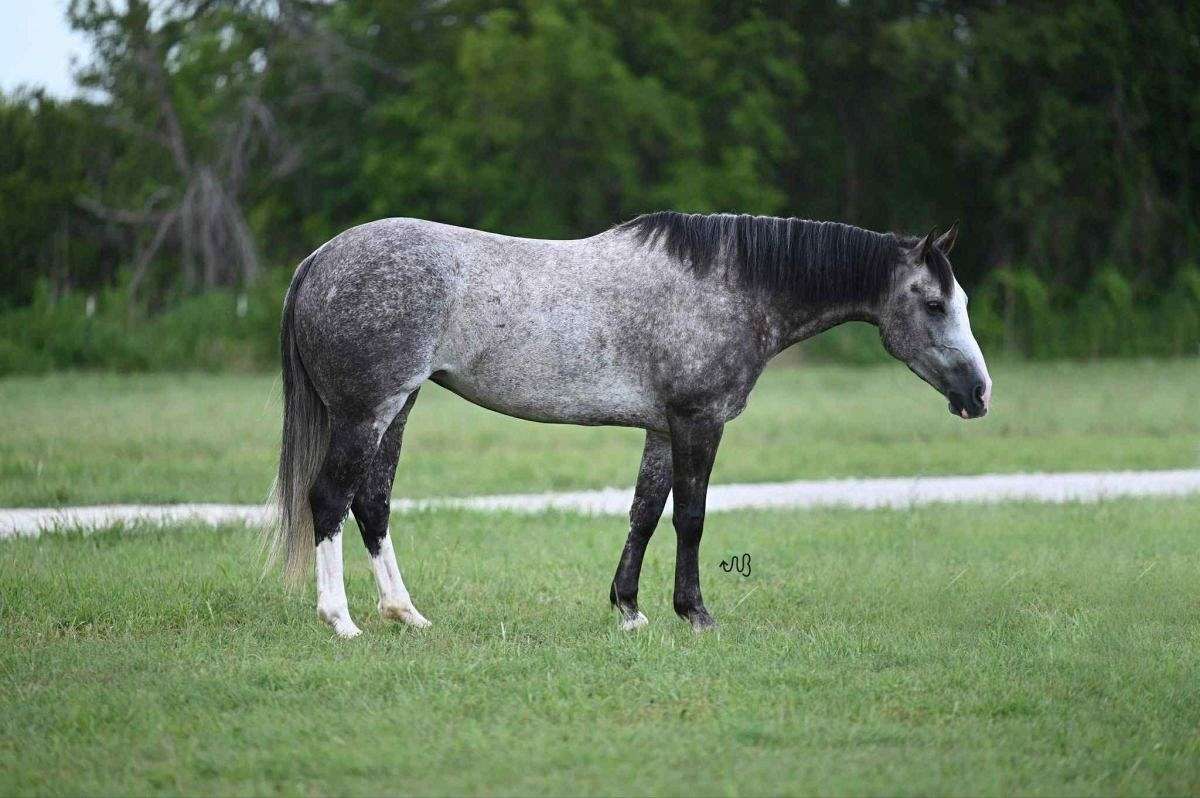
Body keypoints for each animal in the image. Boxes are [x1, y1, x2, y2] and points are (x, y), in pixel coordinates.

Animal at [265, 212, 992, 638]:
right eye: (933, 303)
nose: (979, 395)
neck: (730, 284)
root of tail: (318, 260)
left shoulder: (663, 429)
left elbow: (644, 512)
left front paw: (630, 609)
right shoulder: (699, 422)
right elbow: (691, 517)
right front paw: (694, 613)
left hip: (398, 409)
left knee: (372, 503)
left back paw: (405, 613)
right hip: (366, 413)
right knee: (328, 499)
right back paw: (341, 620)